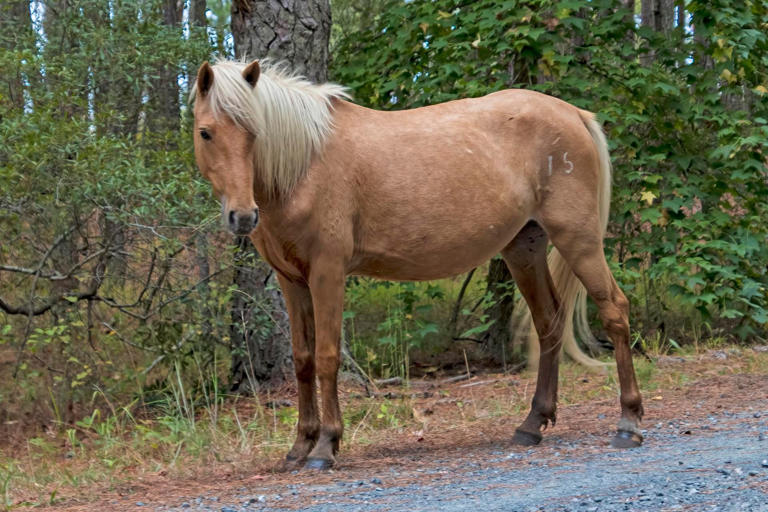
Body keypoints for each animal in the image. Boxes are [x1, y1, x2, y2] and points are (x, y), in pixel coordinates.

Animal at [190, 59, 644, 470]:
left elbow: (326, 357)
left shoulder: (327, 273)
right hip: (523, 248)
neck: (304, 166)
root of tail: (574, 114)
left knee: (614, 311)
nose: (242, 216)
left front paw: (325, 447)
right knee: (549, 322)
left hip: (578, 239)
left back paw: (628, 422)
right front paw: (299, 447)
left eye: (253, 132)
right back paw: (532, 423)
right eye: (205, 132)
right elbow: (302, 360)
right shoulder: (291, 280)